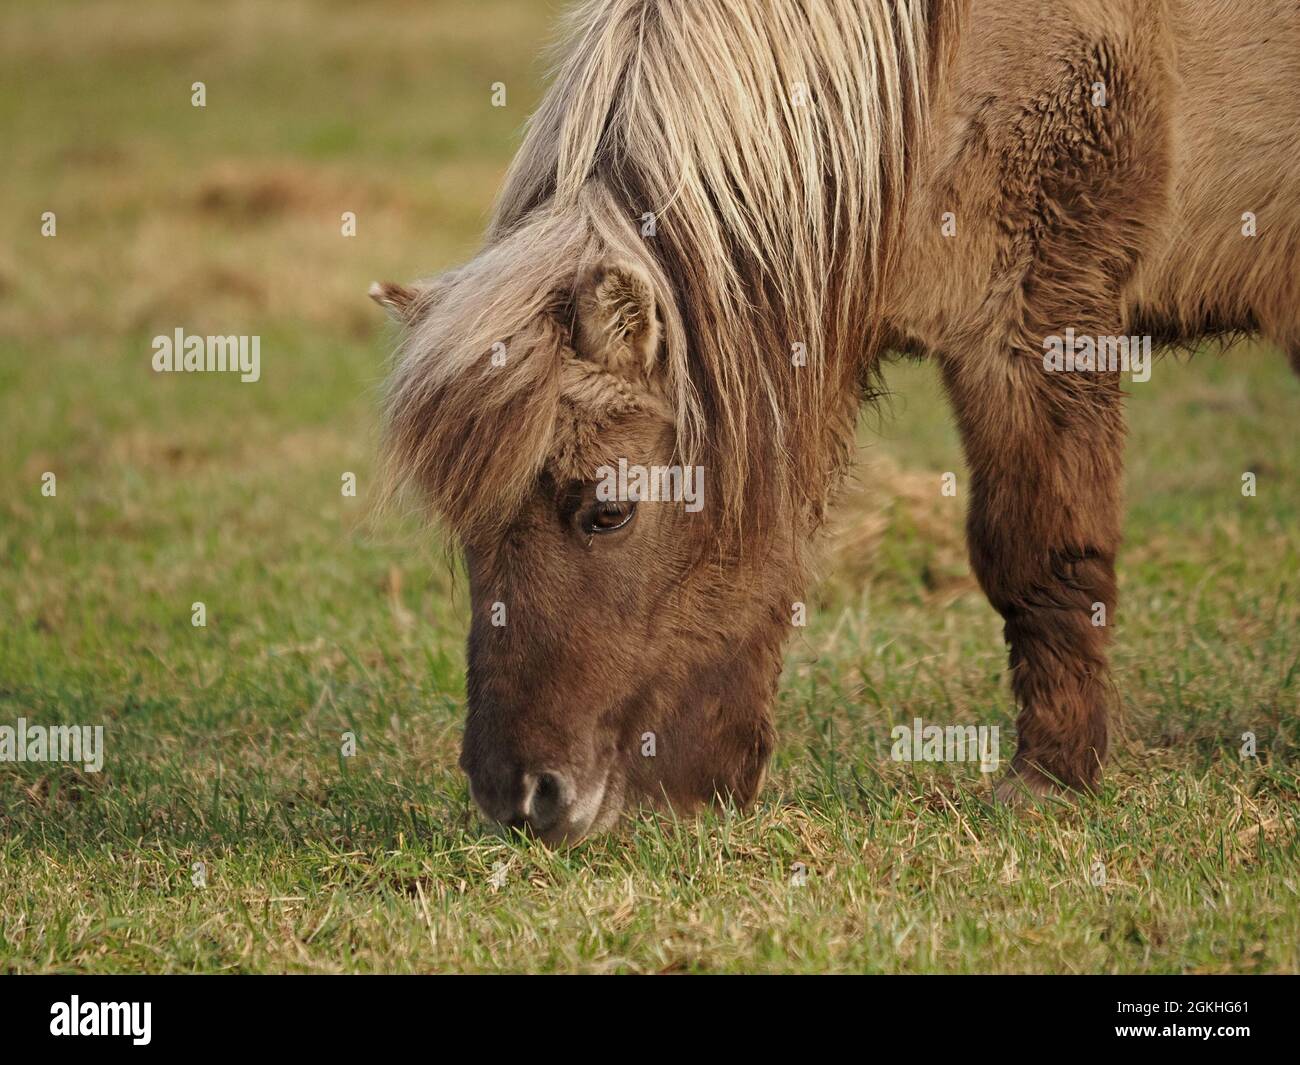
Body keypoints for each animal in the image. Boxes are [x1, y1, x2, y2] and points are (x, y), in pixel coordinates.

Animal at [372, 0, 1300, 842]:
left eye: (608, 510)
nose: (519, 798)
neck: (934, 62)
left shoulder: (1036, 322)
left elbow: (1038, 554)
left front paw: (1049, 780)